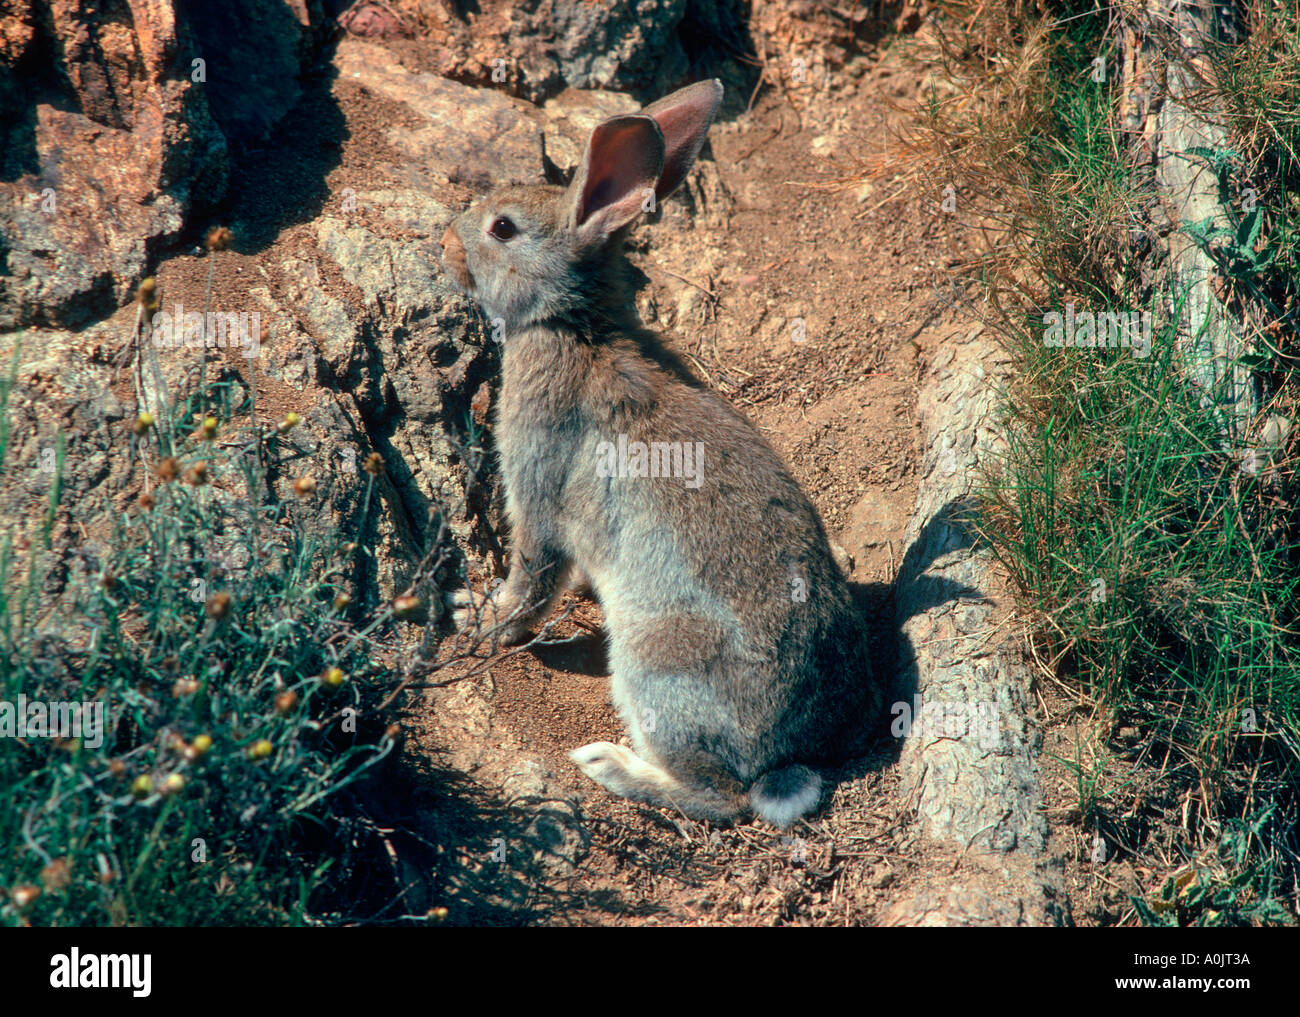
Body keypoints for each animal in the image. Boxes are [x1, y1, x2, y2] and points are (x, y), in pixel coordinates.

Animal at [439, 80, 881, 827]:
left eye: (502, 229)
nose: (447, 238)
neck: (575, 327)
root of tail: (786, 753)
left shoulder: (540, 490)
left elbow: (532, 580)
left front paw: (481, 623)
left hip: (654, 664)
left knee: (721, 797)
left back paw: (610, 764)